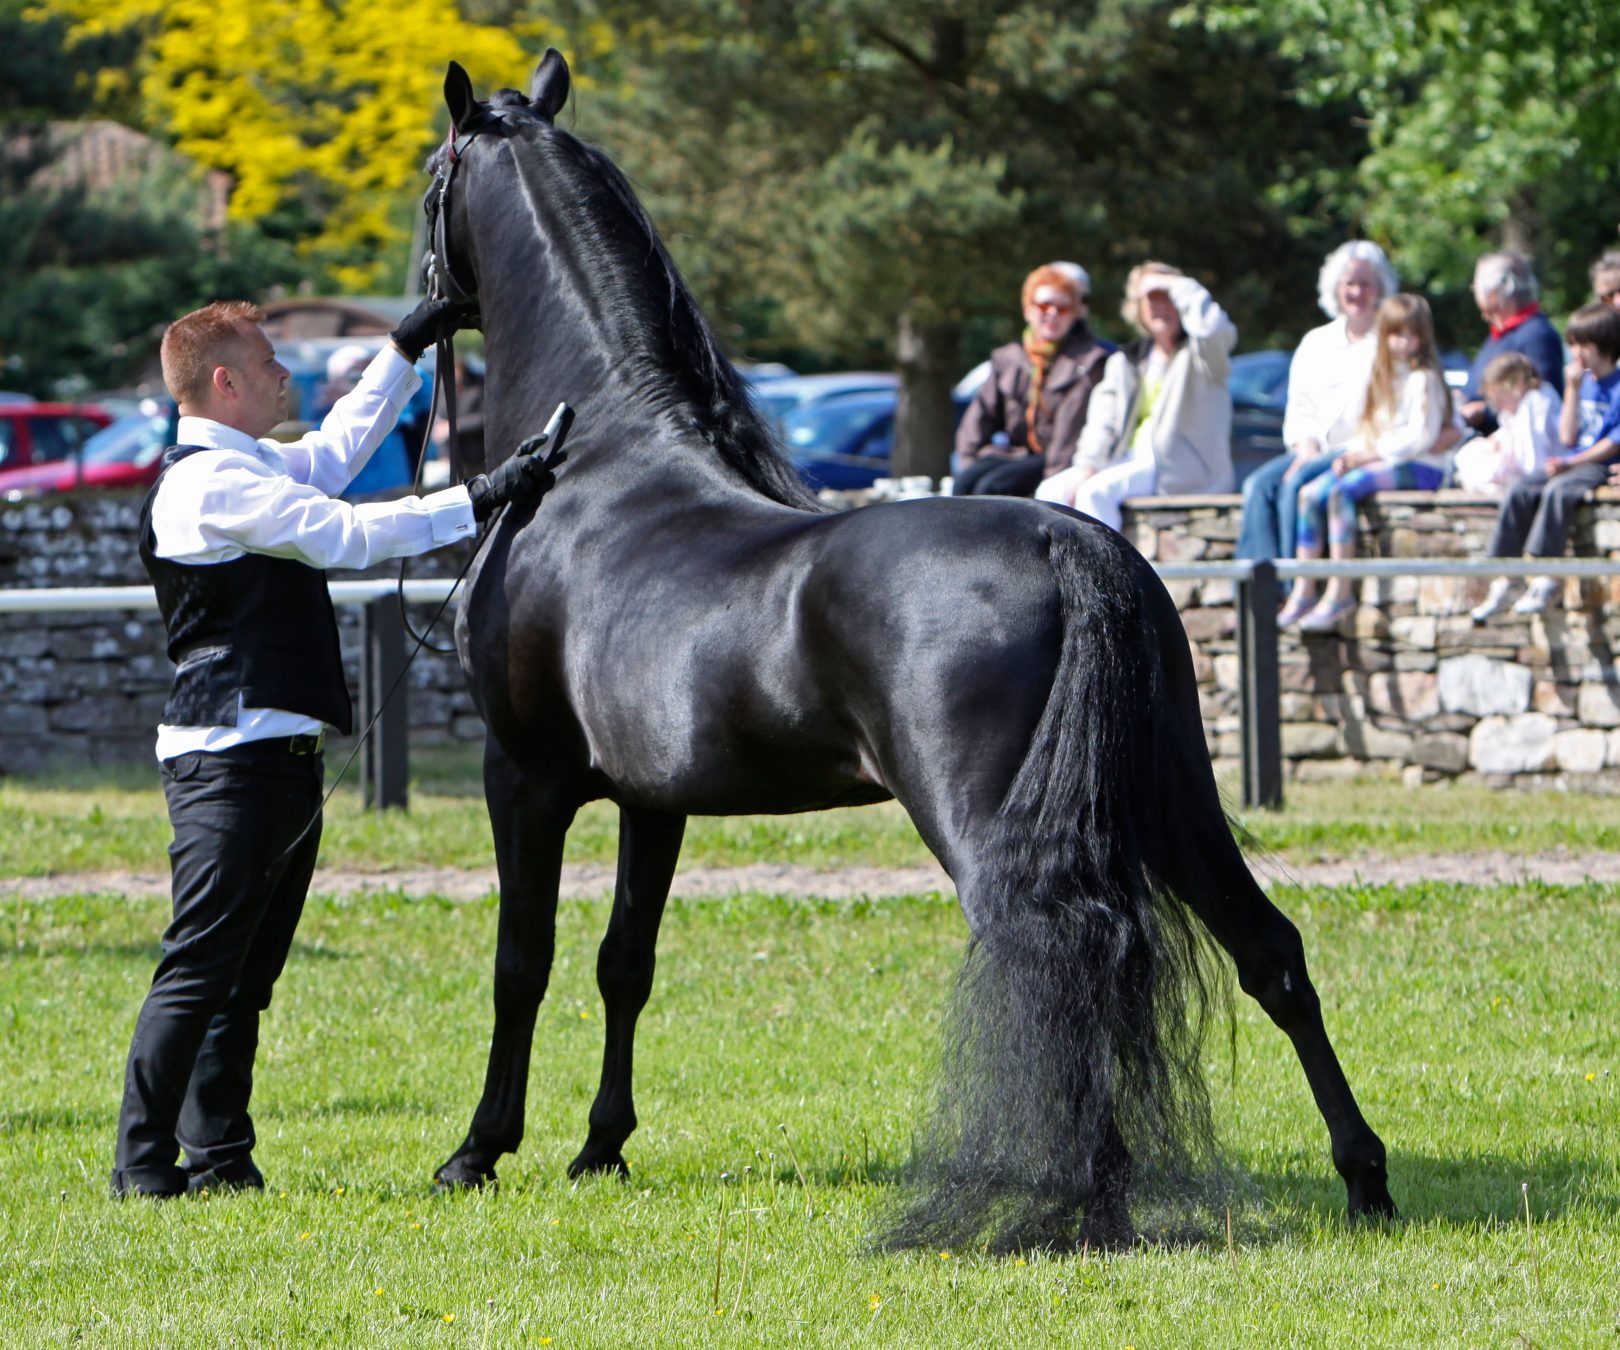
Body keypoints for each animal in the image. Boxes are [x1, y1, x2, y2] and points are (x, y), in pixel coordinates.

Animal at [426, 49, 1395, 1251]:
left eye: (432, 181)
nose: (415, 319)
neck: (593, 472)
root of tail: (1069, 541)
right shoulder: (655, 800)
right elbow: (624, 964)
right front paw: (602, 1146)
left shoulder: (525, 776)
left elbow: (521, 963)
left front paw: (477, 1151)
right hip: (1174, 797)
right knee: (1269, 952)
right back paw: (1360, 1178)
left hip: (995, 823)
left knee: (1061, 954)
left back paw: (1076, 1198)